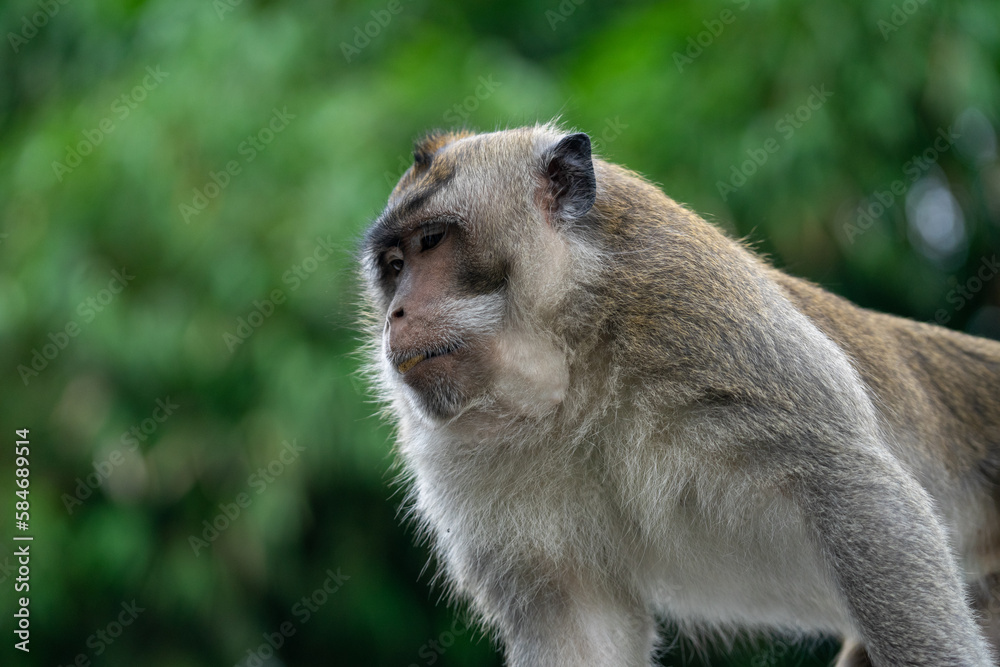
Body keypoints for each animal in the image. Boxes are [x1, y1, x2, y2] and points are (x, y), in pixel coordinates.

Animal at [359, 122, 1000, 667]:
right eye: (393, 265)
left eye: (432, 240)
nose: (397, 314)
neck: (567, 370)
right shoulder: (459, 458)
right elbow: (577, 626)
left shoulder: (698, 312)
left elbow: (859, 492)